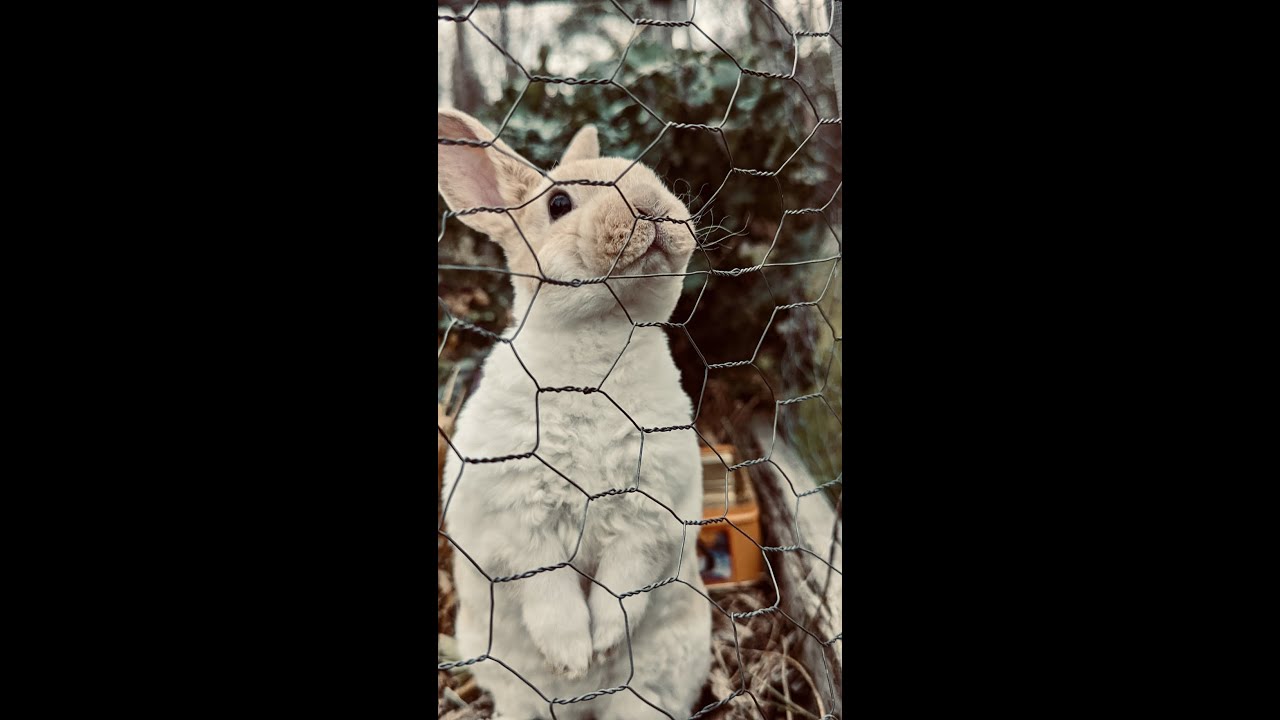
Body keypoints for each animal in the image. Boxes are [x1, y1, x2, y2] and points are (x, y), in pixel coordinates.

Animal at [438, 108, 712, 720]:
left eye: (648, 173)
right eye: (559, 203)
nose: (649, 202)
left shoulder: (648, 513)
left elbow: (623, 580)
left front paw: (604, 642)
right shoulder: (518, 519)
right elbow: (550, 591)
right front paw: (573, 656)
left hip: (657, 682)